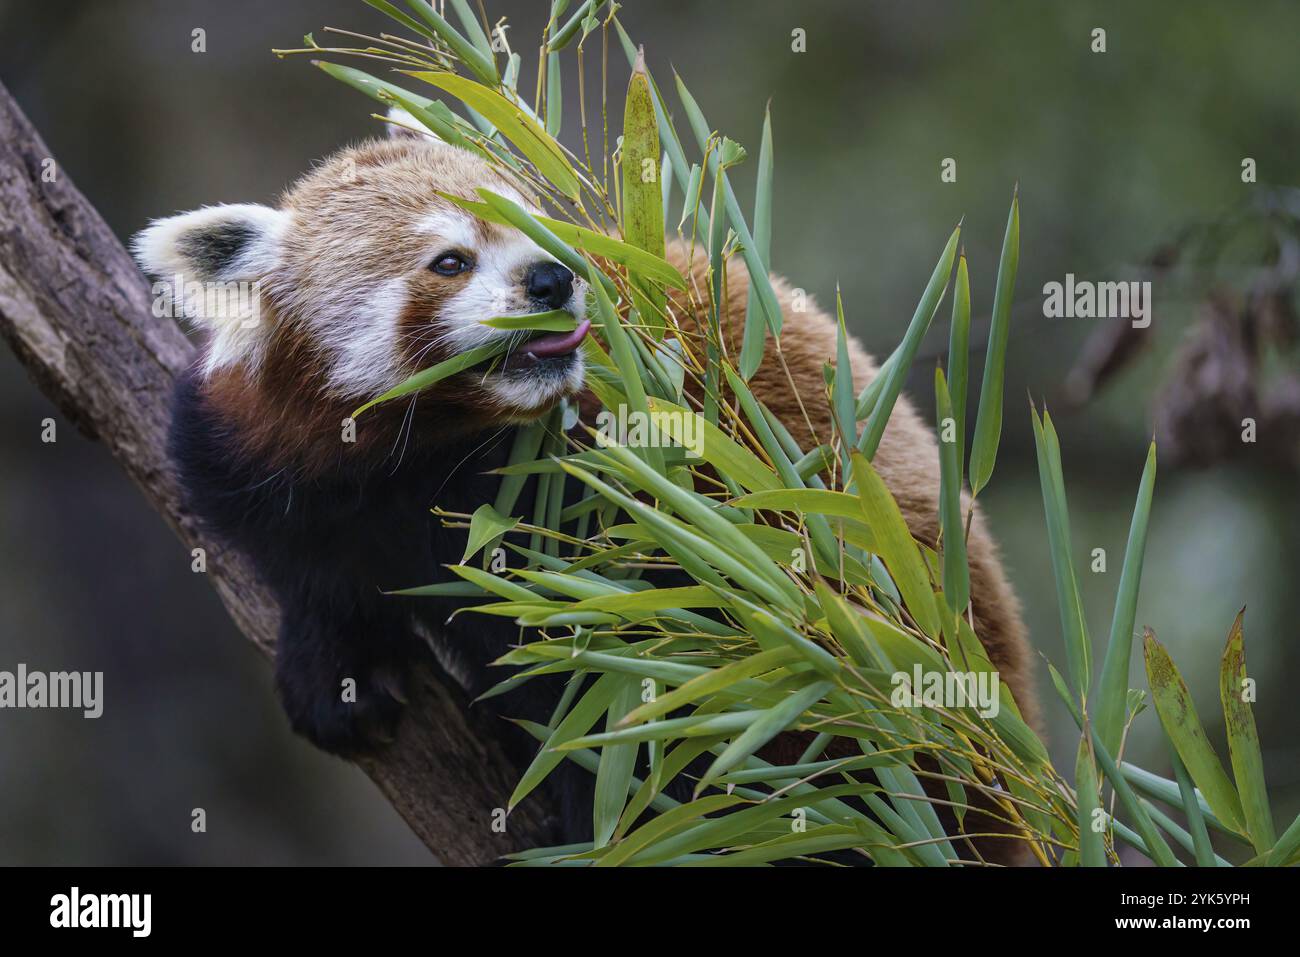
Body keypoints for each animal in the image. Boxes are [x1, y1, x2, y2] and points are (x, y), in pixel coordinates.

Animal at [133, 123, 1038, 861]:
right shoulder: (267, 465)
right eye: (451, 260)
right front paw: (333, 672)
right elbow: (309, 571)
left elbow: (622, 682)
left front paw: (593, 819)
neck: (422, 453)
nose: (551, 277)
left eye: (531, 226)